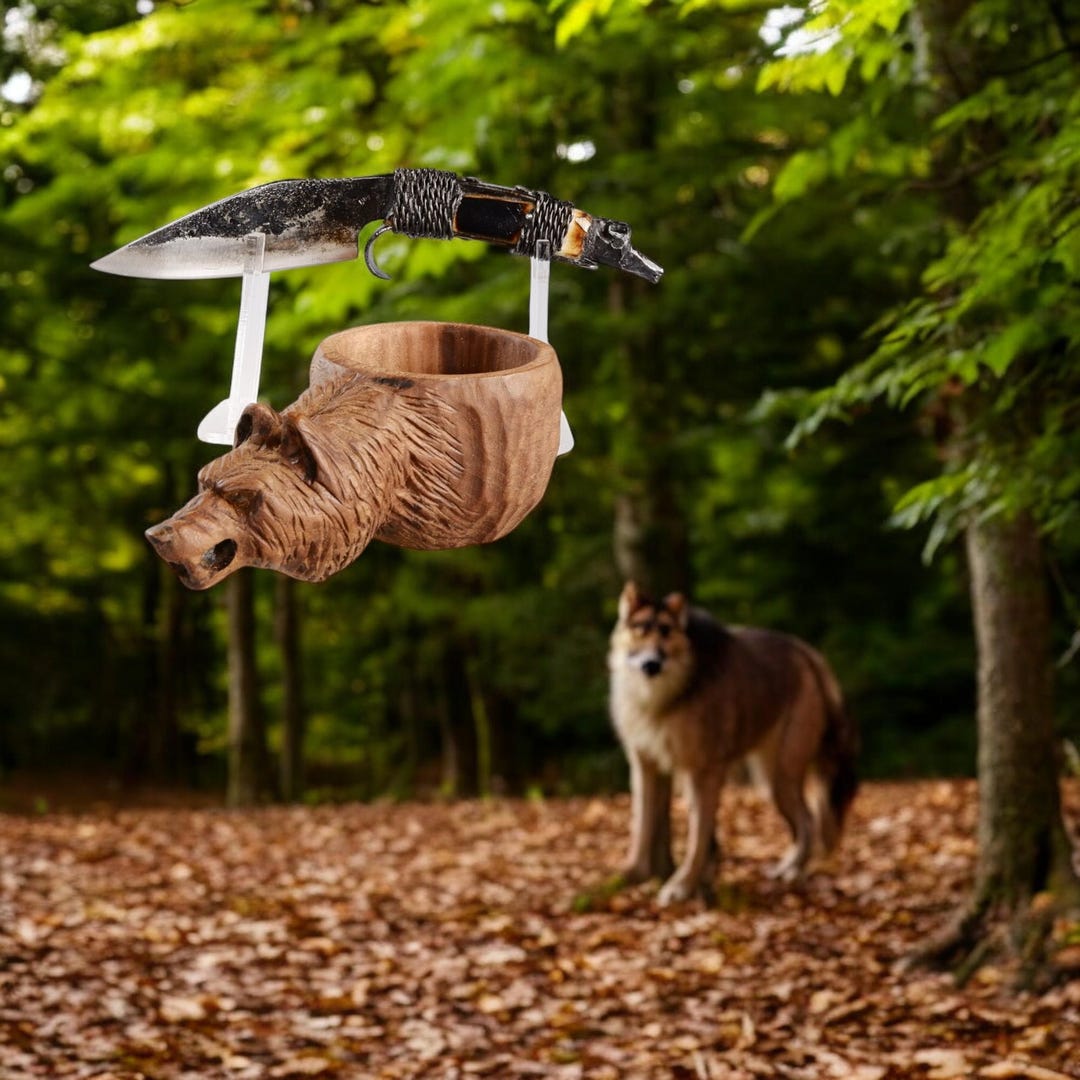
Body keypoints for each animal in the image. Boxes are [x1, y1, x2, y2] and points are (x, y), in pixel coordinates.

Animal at [608, 582, 858, 905]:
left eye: (666, 631)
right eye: (640, 629)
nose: (652, 664)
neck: (663, 698)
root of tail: (809, 653)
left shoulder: (704, 771)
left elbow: (698, 836)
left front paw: (682, 886)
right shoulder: (646, 766)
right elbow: (642, 825)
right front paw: (632, 876)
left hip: (781, 775)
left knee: (810, 820)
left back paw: (792, 871)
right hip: (768, 780)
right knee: (806, 821)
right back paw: (789, 868)